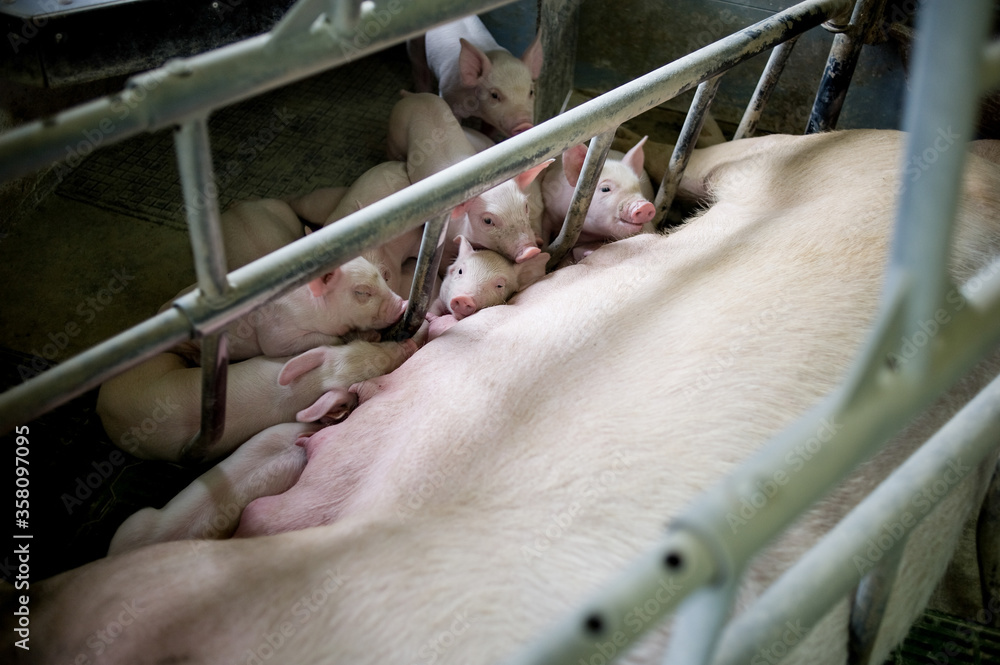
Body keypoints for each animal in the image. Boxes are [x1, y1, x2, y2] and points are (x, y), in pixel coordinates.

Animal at [412, 15, 543, 138]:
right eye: (494, 95)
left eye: (531, 92)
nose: (525, 124)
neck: (477, 111)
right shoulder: (448, 94)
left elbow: (488, 132)